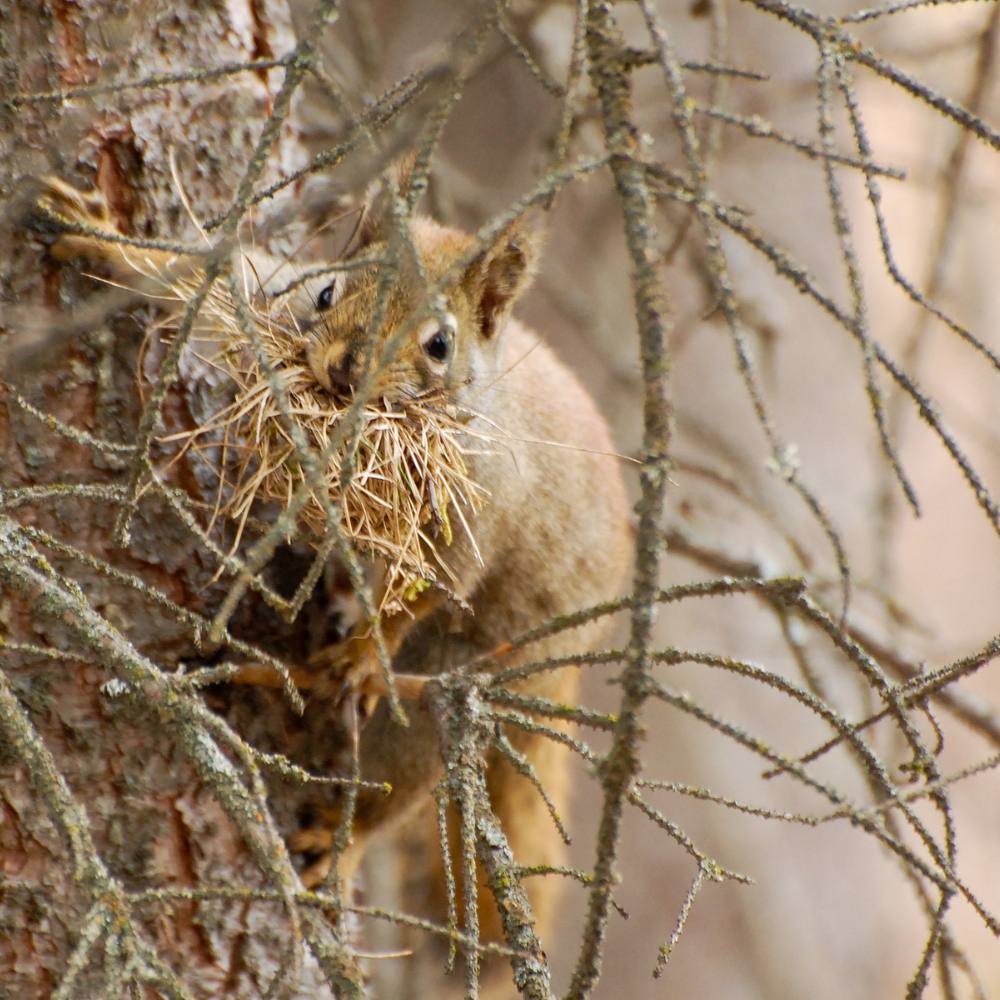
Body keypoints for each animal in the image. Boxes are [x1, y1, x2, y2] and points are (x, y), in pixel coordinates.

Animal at [33, 167, 632, 993]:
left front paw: (364, 652)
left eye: (439, 344)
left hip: (479, 658)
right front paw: (102, 237)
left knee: (405, 765)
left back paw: (340, 830)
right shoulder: (266, 309)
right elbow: (202, 285)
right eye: (325, 291)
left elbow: (434, 586)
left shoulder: (479, 507)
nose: (347, 370)